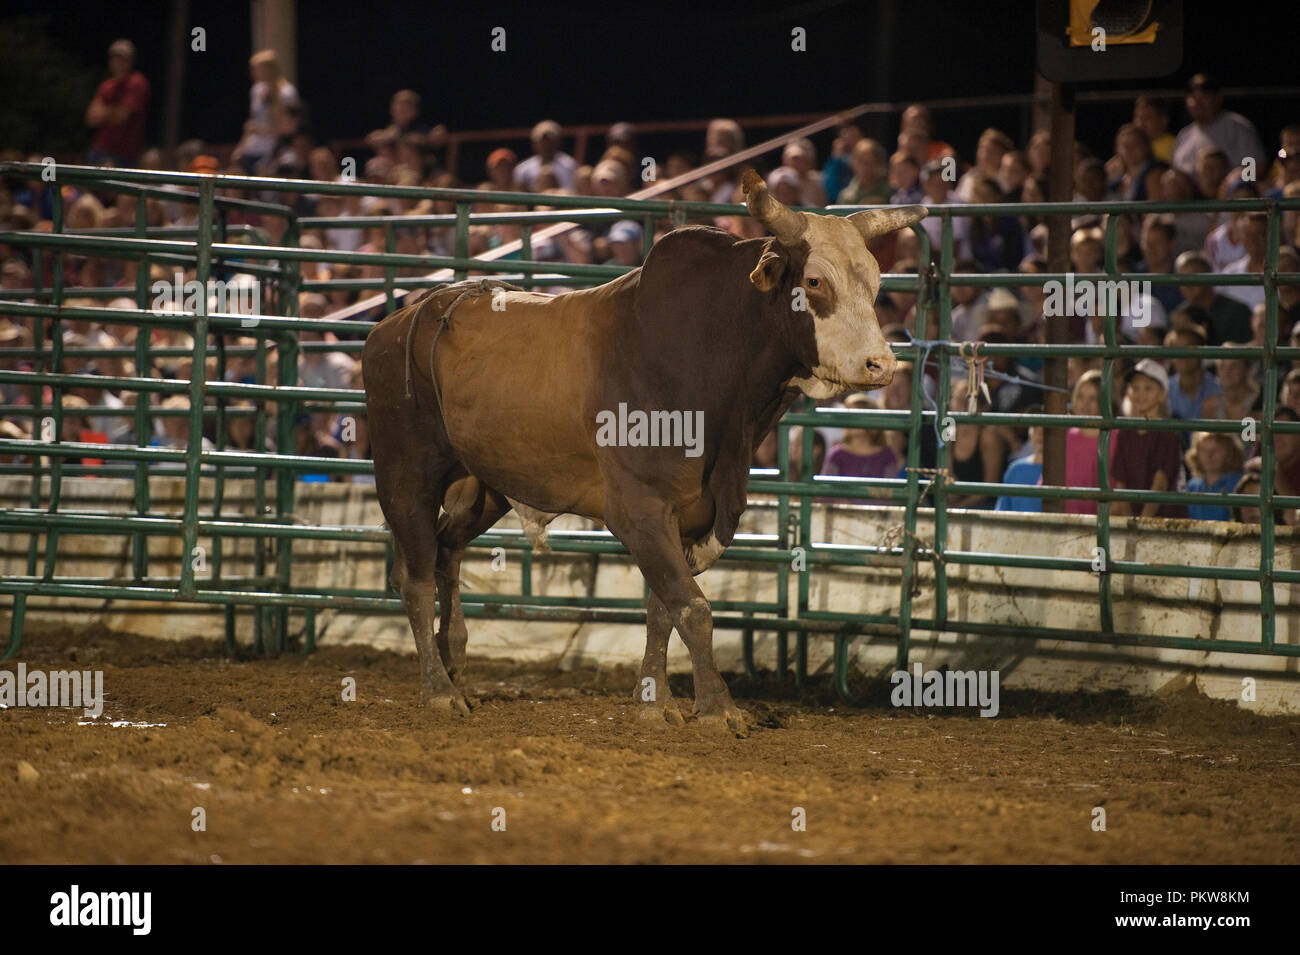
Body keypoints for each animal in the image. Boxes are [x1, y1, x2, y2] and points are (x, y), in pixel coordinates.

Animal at [363, 169, 925, 734]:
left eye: (876, 282)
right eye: (814, 282)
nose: (880, 365)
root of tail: (399, 322)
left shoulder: (691, 513)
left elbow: (663, 609)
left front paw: (655, 700)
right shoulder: (640, 509)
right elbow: (694, 609)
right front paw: (718, 707)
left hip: (484, 486)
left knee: (446, 552)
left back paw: (455, 662)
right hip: (404, 474)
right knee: (415, 576)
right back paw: (438, 690)